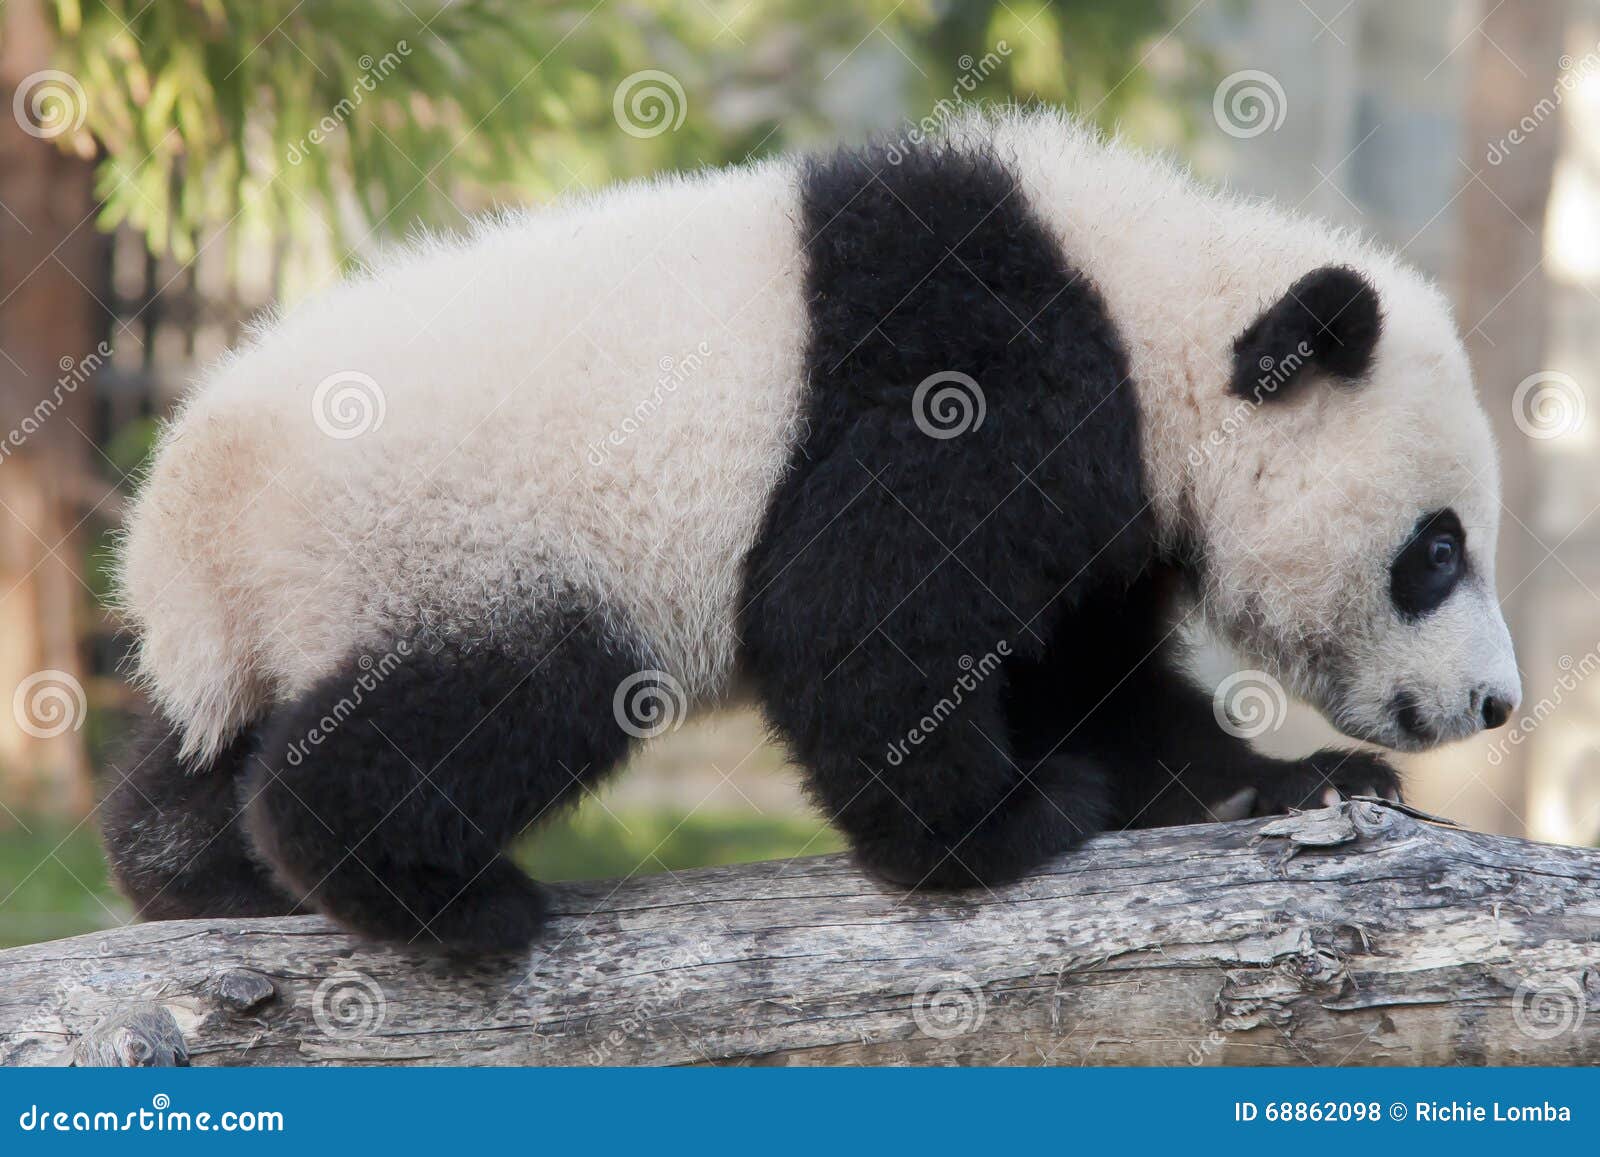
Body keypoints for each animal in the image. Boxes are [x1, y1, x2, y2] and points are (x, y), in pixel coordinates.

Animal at [103, 107, 1521, 952]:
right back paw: (436, 892)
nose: (1495, 704)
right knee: (501, 691)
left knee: (202, 748)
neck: (1155, 305)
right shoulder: (988, 374)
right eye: (1437, 551)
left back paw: (198, 873)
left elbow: (1081, 673)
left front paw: (1294, 781)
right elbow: (854, 616)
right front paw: (1000, 827)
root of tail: (190, 532)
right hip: (459, 541)